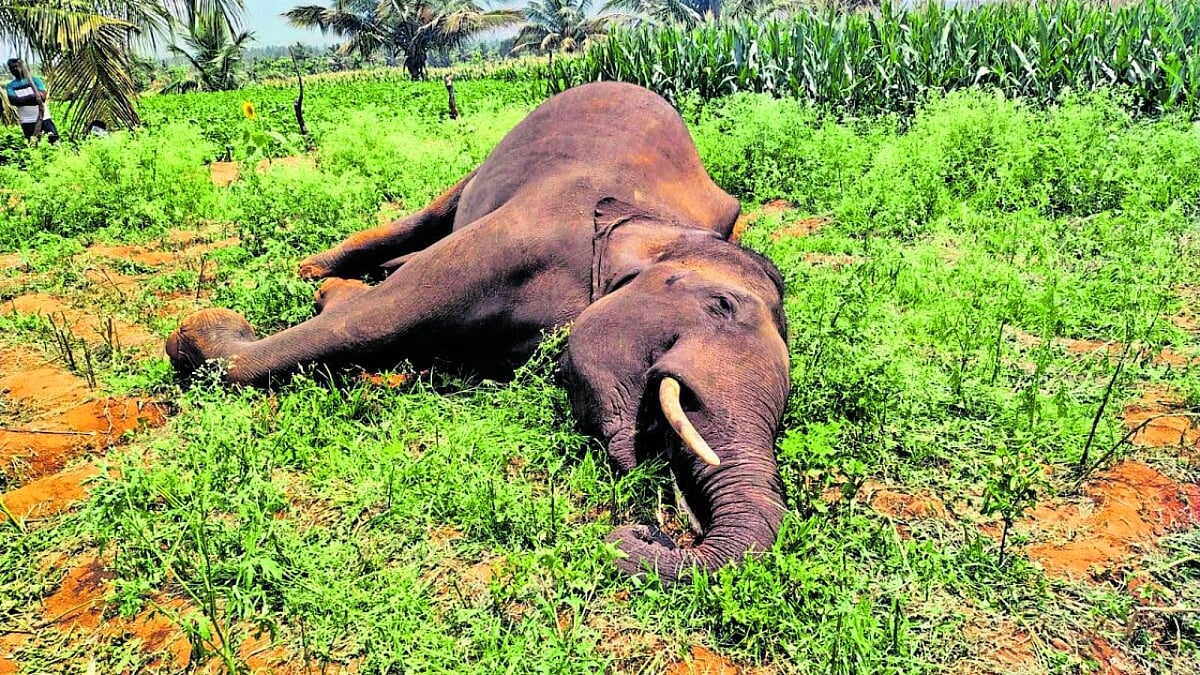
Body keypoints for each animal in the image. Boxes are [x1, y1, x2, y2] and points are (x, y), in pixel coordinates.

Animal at [166, 81, 792, 584]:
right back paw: (312, 271)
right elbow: (372, 319)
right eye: (720, 305)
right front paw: (202, 333)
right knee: (426, 218)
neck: (657, 222)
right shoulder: (526, 230)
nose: (643, 530)